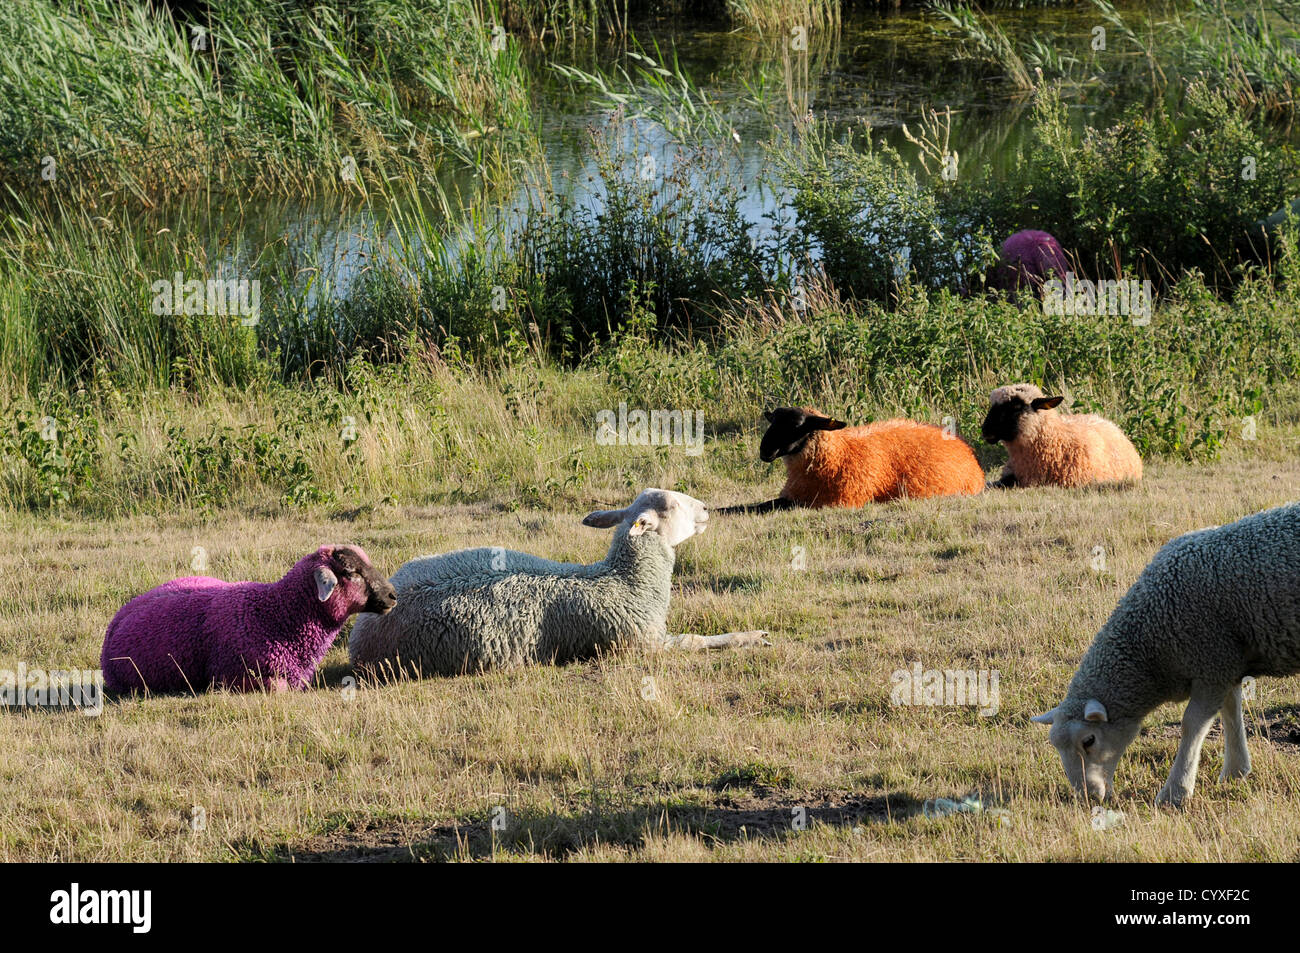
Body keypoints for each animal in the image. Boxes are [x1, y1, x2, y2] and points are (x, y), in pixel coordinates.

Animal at [348, 488, 767, 678]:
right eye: (673, 506)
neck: (624, 580)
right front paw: (749, 637)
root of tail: (360, 630)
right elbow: (696, 640)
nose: (708, 509)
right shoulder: (640, 644)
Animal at [717, 406, 985, 514]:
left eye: (796, 425)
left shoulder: (834, 501)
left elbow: (764, 507)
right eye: (772, 421)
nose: (765, 451)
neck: (840, 453)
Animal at [1032, 501, 1300, 807]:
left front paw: (1176, 791)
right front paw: (1235, 772)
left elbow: (1192, 724)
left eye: (1089, 741)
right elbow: (1230, 712)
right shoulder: (1224, 662)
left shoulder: (1211, 661)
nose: (1087, 797)